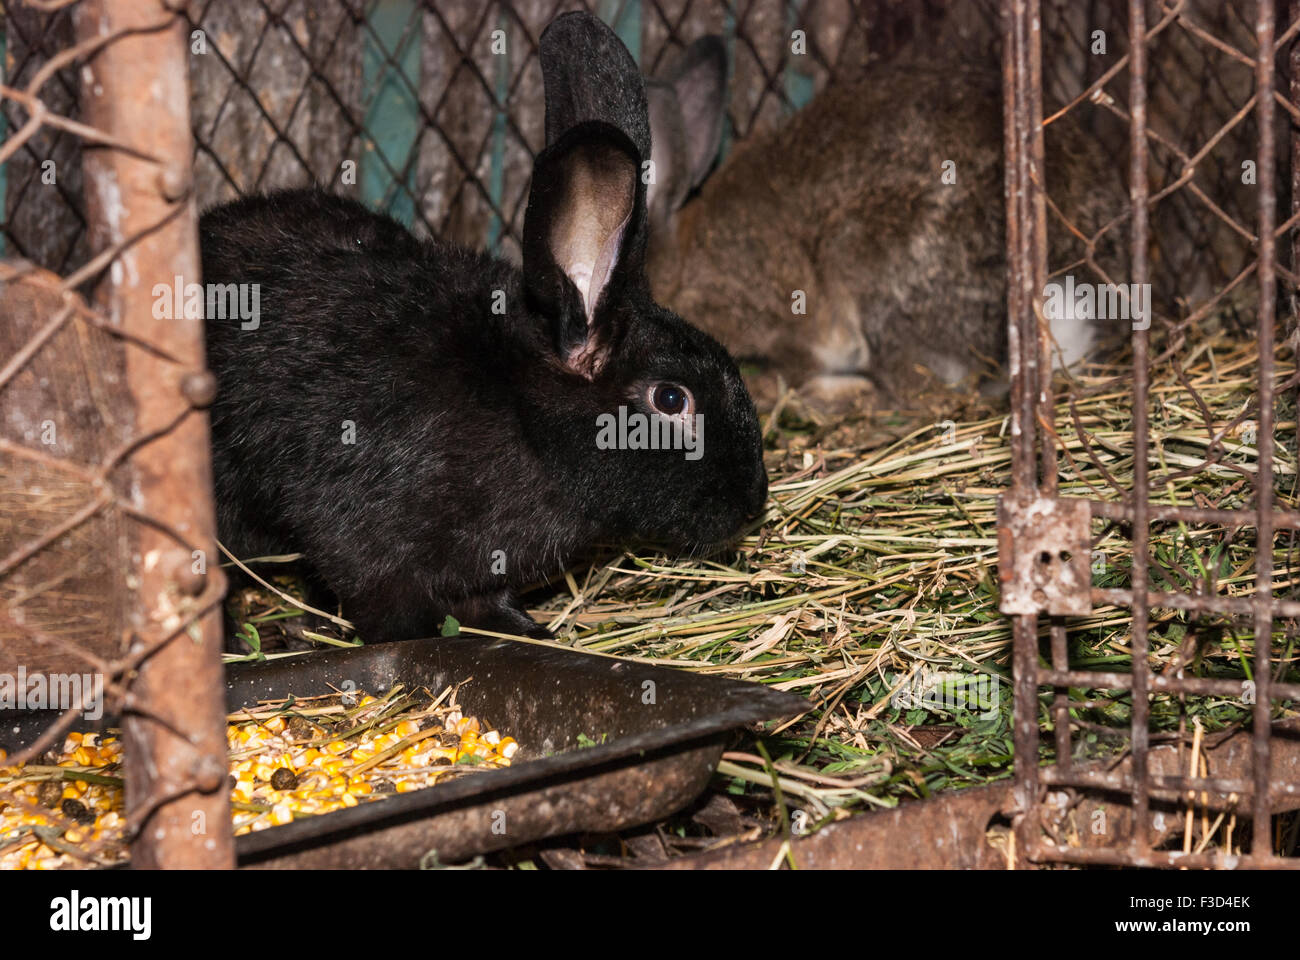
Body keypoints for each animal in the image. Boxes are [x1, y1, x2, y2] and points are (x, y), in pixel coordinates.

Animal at [199, 12, 767, 646]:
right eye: (671, 399)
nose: (754, 502)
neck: (526, 417)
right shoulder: (365, 546)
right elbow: (387, 605)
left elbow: (486, 601)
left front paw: (525, 631)